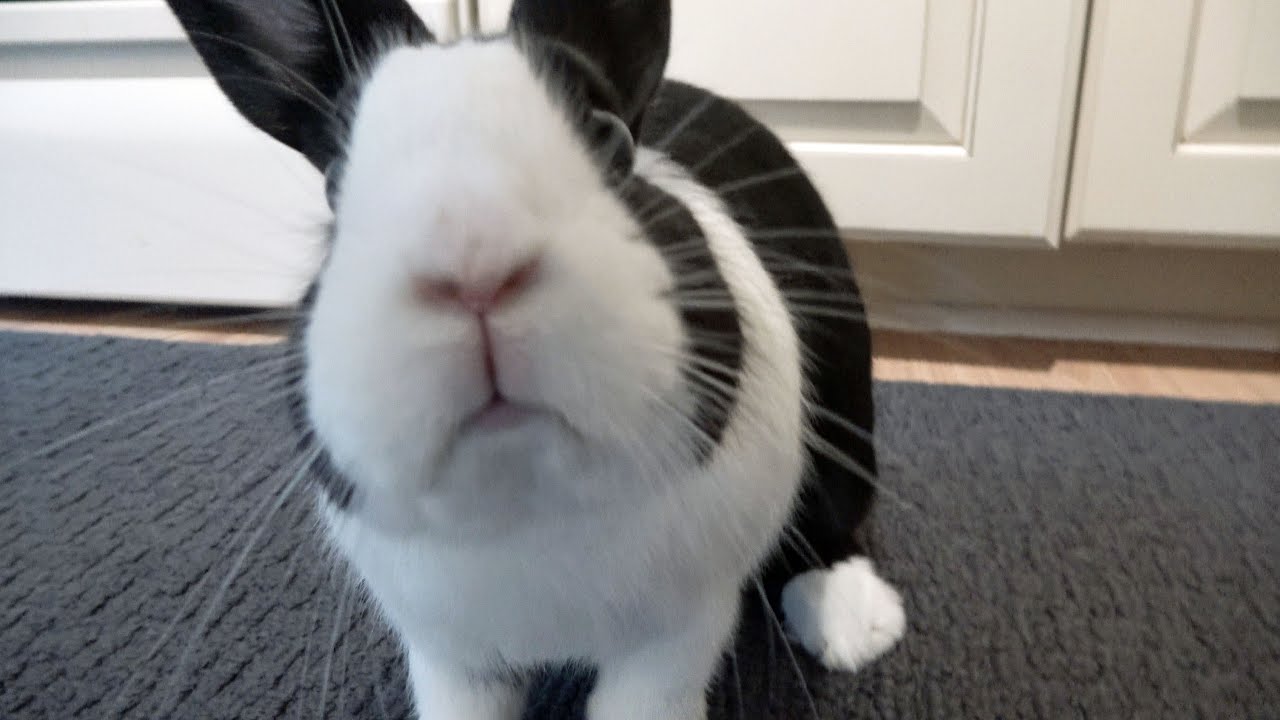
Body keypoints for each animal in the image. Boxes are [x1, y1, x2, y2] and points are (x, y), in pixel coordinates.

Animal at [164, 0, 905, 717]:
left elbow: (641, 702)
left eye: (611, 139)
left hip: (845, 411)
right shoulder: (447, 655)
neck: (530, 499)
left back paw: (853, 625)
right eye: (333, 189)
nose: (472, 262)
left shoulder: (677, 633)